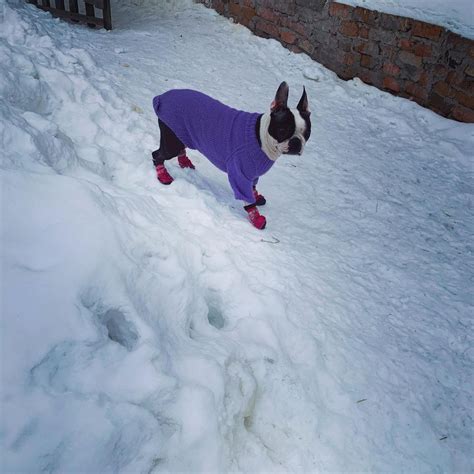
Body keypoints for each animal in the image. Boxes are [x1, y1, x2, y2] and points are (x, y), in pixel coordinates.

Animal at [150, 81, 310, 230]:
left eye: (307, 133)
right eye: (283, 130)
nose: (296, 142)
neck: (260, 137)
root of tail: (162, 97)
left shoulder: (252, 174)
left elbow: (253, 188)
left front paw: (256, 197)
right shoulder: (240, 174)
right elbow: (247, 200)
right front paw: (256, 218)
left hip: (181, 134)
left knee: (180, 149)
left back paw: (184, 162)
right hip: (172, 141)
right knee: (157, 155)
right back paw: (163, 176)